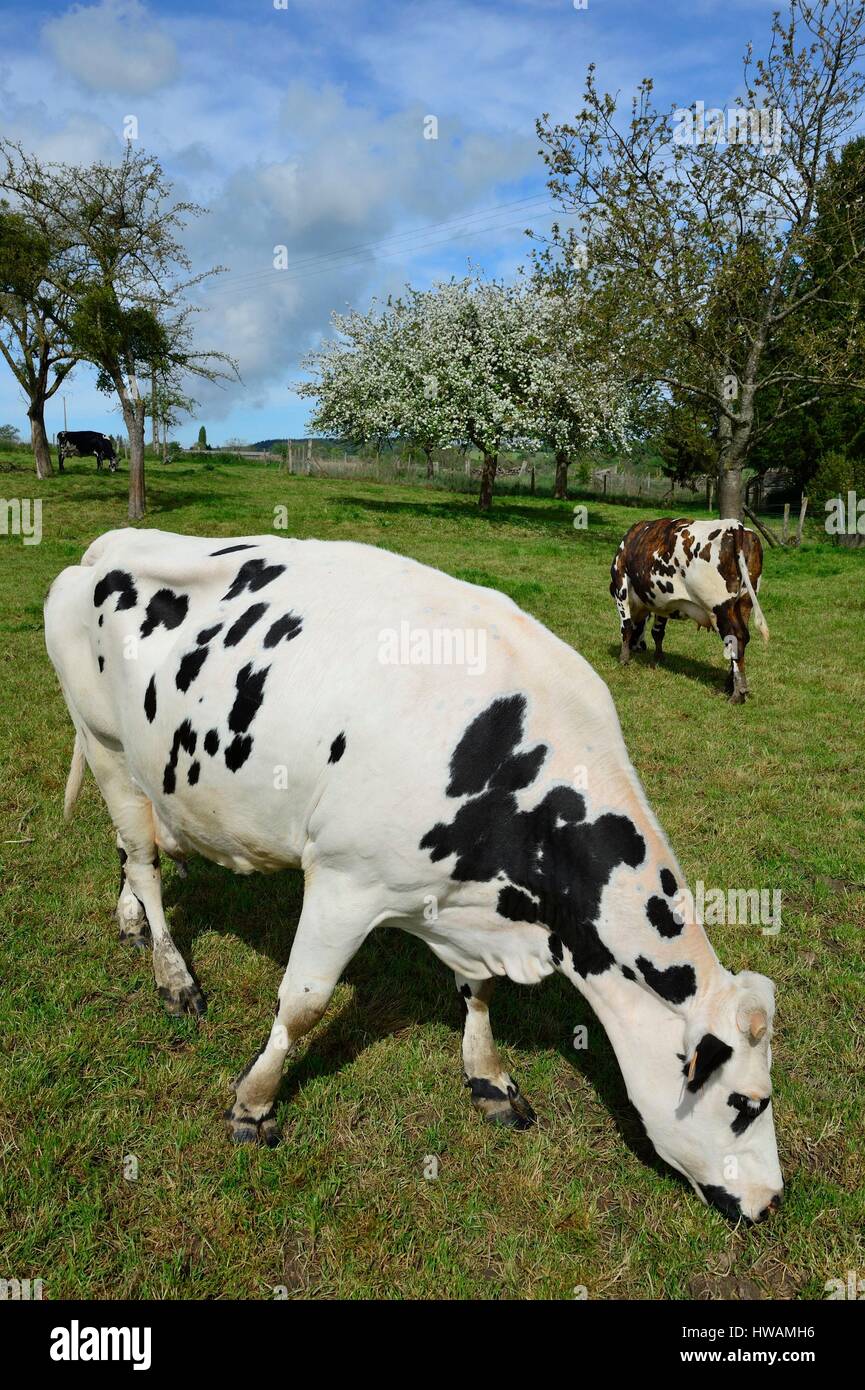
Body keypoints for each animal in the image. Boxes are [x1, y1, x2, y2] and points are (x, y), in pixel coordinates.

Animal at [610, 518, 769, 702]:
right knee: (743, 639)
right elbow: (658, 631)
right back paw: (729, 686)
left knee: (735, 638)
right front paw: (658, 658)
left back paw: (737, 693)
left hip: (720, 608)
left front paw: (624, 658)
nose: (640, 647)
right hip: (744, 602)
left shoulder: (621, 586)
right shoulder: (663, 601)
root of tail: (735, 525)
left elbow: (626, 626)